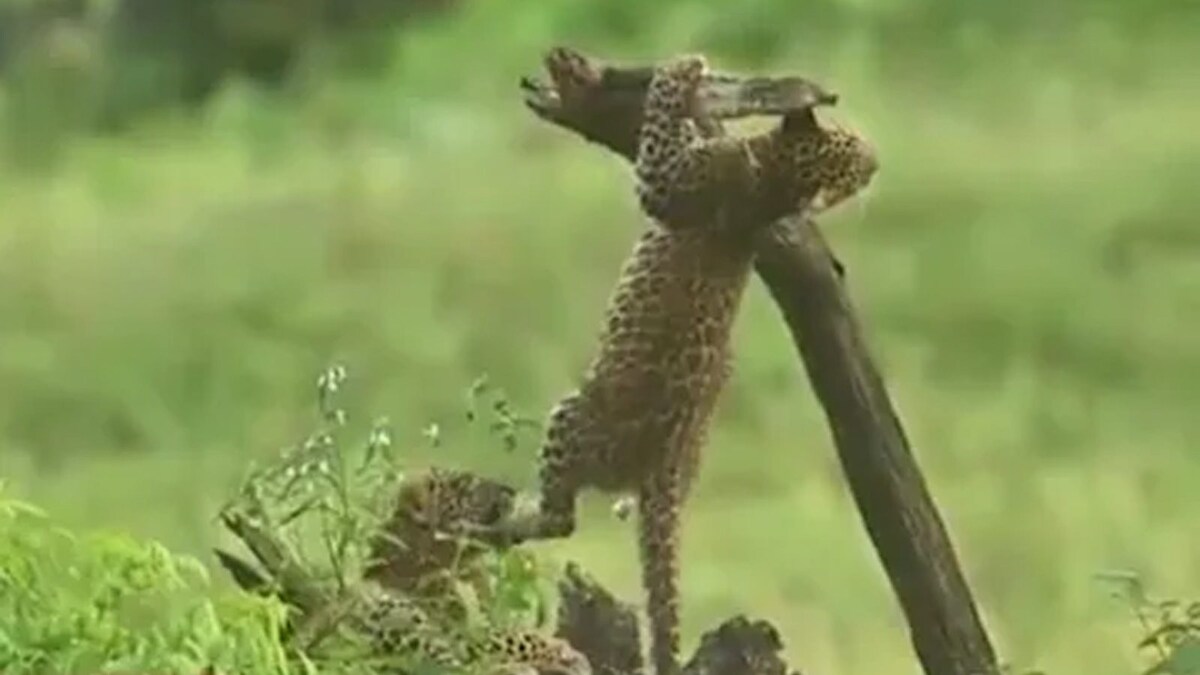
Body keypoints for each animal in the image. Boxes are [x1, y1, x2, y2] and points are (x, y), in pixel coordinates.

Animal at [471, 52, 878, 675]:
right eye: (852, 149)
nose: (877, 162)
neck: (773, 182)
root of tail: (665, 462)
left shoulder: (666, 184)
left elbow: (662, 136)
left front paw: (683, 70)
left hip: (574, 415)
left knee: (562, 519)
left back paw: (507, 520)